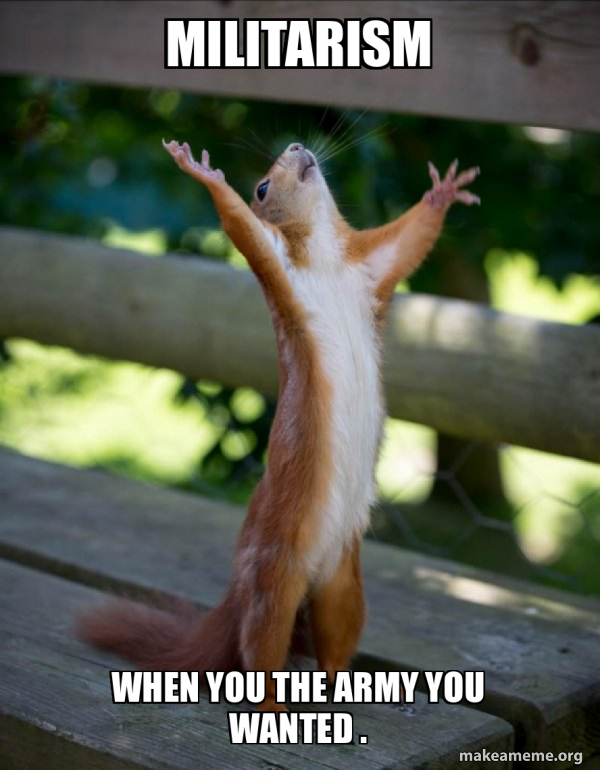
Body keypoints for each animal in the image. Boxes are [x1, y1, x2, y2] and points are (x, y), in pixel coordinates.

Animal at [78, 138, 479, 712]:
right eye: (262, 187)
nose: (296, 146)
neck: (327, 259)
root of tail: (241, 591)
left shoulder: (372, 267)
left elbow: (410, 240)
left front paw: (443, 191)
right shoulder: (277, 265)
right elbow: (240, 226)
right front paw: (204, 173)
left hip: (344, 586)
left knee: (336, 638)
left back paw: (340, 685)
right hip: (273, 580)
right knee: (261, 651)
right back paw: (274, 707)